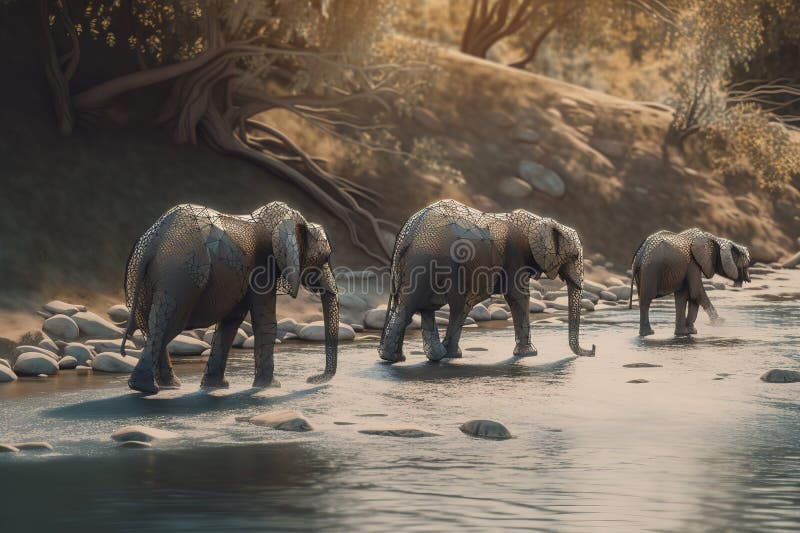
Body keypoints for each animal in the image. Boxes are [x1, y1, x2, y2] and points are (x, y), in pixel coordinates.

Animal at [121, 202, 338, 395]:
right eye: (326, 257)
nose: (310, 379)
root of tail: (153, 242)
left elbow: (231, 321)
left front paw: (215, 386)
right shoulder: (263, 266)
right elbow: (265, 322)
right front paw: (271, 386)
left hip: (144, 277)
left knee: (152, 326)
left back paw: (167, 386)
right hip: (182, 274)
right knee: (170, 324)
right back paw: (147, 388)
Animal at [378, 199, 596, 362]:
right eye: (574, 256)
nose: (593, 349)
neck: (536, 222)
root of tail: (407, 232)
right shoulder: (515, 257)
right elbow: (518, 297)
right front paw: (530, 354)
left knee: (426, 308)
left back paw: (428, 357)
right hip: (427, 262)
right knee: (427, 307)